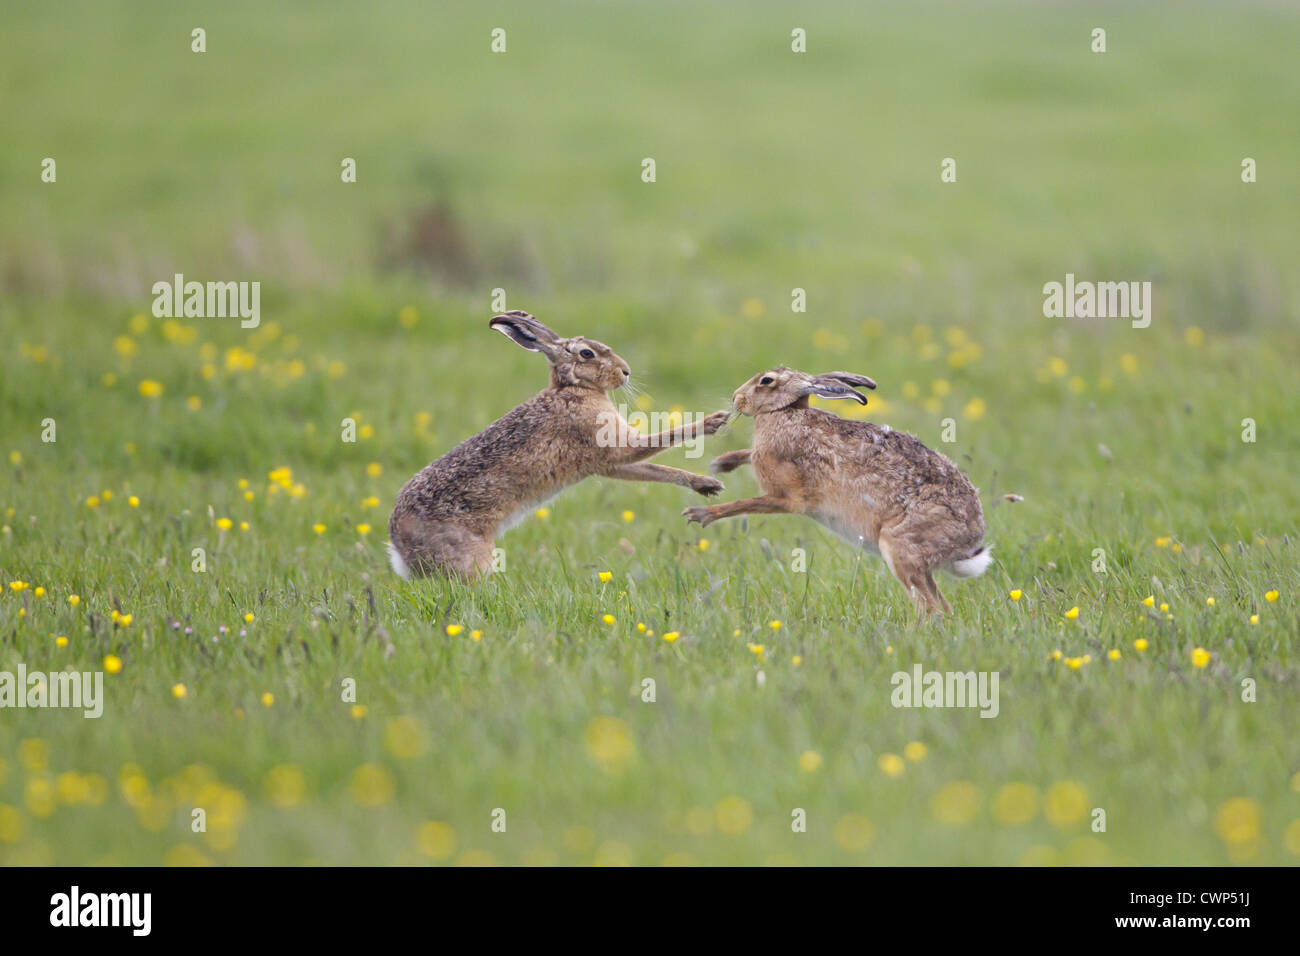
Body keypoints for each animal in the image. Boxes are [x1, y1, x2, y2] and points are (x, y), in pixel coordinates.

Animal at [389, 310, 731, 580]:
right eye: (587, 354)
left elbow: (654, 468)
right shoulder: (613, 446)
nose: (626, 371)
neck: (575, 390)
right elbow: (662, 440)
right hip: (472, 555)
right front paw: (713, 420)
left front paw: (707, 485)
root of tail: (398, 545)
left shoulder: (609, 464)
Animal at [683, 367, 990, 614]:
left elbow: (744, 503)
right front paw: (722, 463)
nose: (737, 398)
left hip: (900, 547)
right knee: (942, 606)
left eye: (766, 380)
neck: (786, 413)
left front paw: (701, 513)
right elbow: (747, 456)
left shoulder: (787, 498)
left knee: (930, 608)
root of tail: (971, 540)